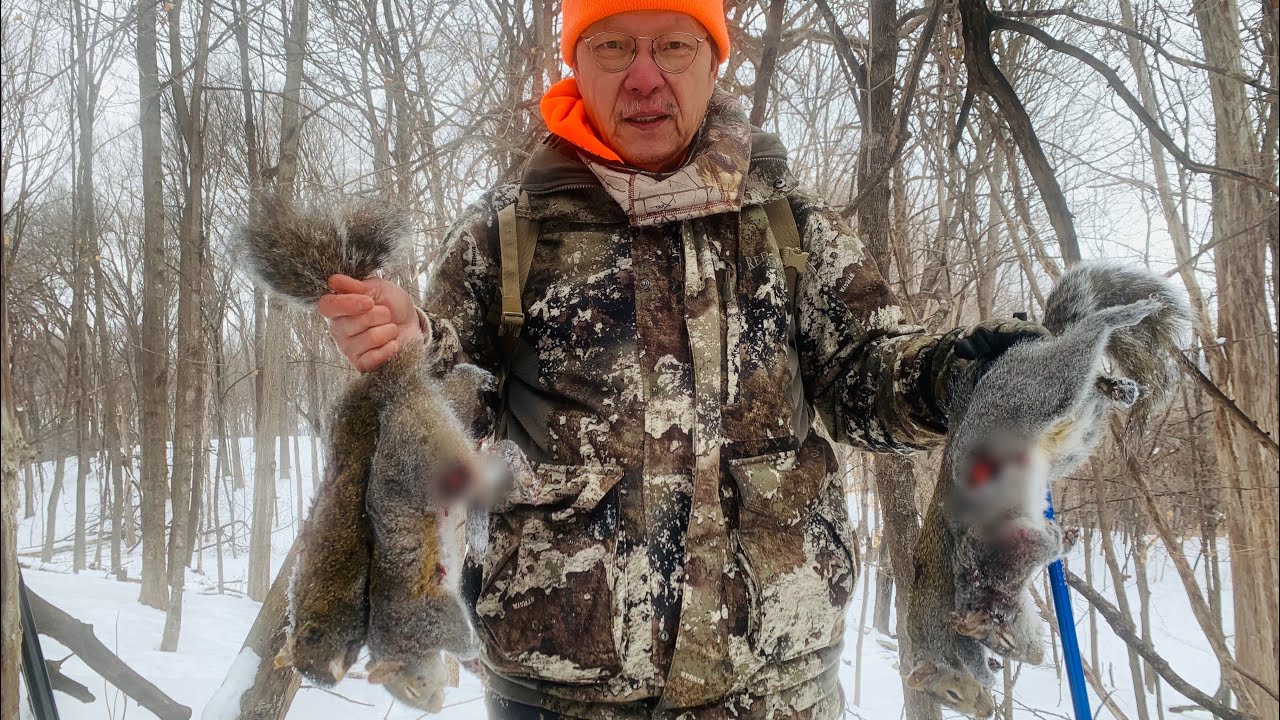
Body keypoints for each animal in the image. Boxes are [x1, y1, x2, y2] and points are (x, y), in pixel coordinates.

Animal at [237, 196, 502, 705]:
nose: (327, 677)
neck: (320, 610)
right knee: (460, 387)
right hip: (444, 407)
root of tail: (387, 386)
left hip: (432, 441)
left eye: (320, 651)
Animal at [907, 262, 1189, 714]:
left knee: (1083, 342)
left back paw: (1122, 318)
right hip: (1074, 430)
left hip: (1038, 391)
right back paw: (1119, 388)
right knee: (1091, 394)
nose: (1035, 657)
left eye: (949, 693)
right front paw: (1067, 537)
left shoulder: (1003, 551)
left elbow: (1037, 548)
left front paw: (985, 672)